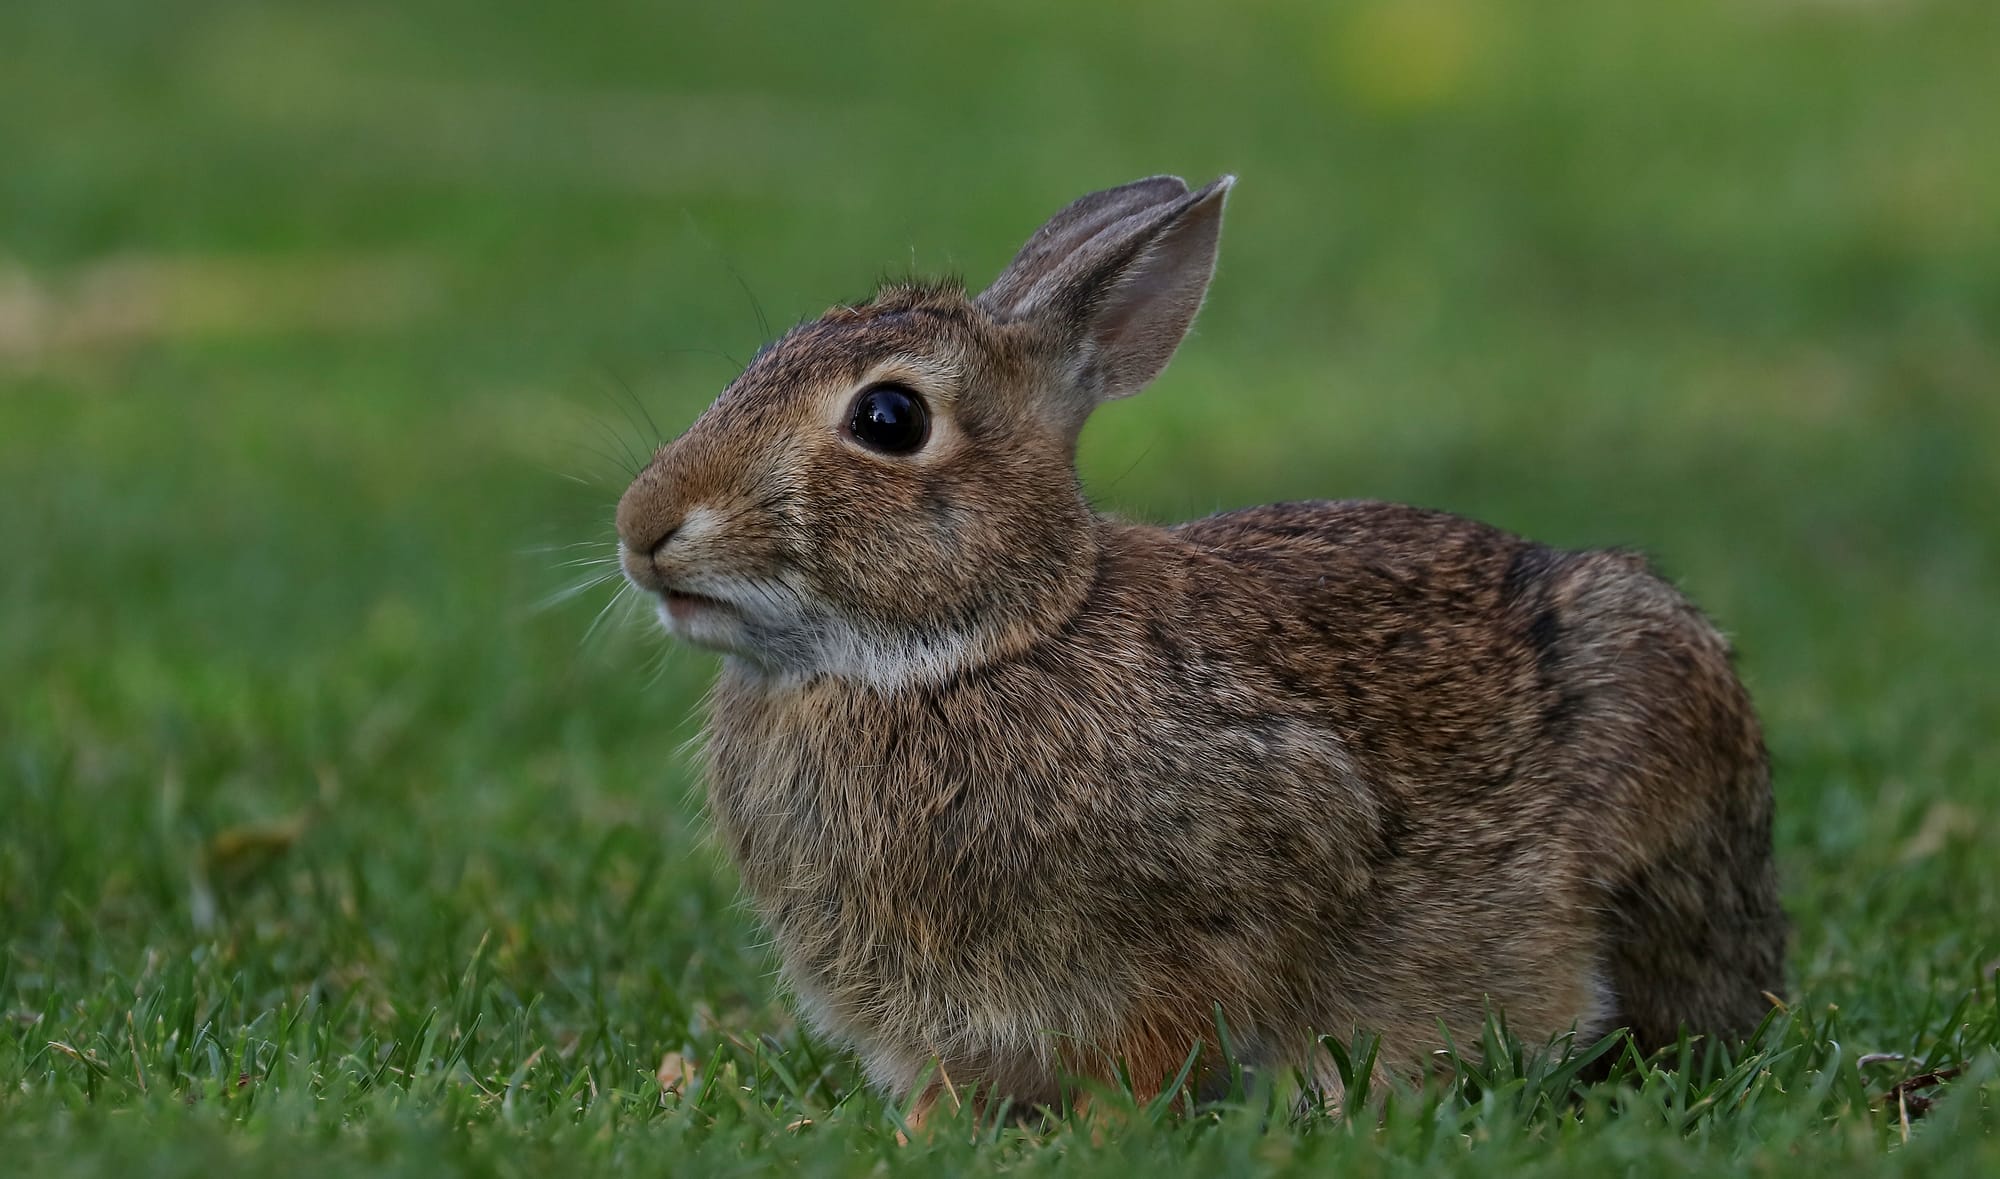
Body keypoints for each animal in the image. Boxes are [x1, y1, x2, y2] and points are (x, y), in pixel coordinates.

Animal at [614, 174, 1786, 1120]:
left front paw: (1104, 1133)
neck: (985, 645)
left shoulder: (1228, 901)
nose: (642, 527)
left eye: (889, 418)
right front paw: (925, 1133)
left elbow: (1156, 1052)